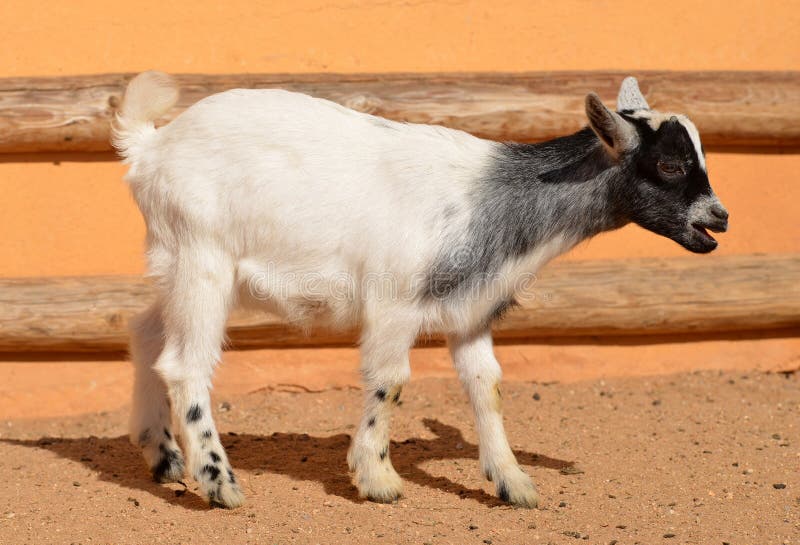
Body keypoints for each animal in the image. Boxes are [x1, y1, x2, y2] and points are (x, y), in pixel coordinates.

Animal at [113, 72, 728, 508]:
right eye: (670, 164)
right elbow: (390, 382)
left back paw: (162, 457)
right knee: (185, 365)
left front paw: (512, 482)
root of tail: (150, 148)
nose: (718, 219)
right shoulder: (395, 306)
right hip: (203, 260)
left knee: (145, 332)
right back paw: (218, 483)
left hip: (181, 267)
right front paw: (377, 477)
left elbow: (487, 387)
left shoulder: (472, 313)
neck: (494, 201)